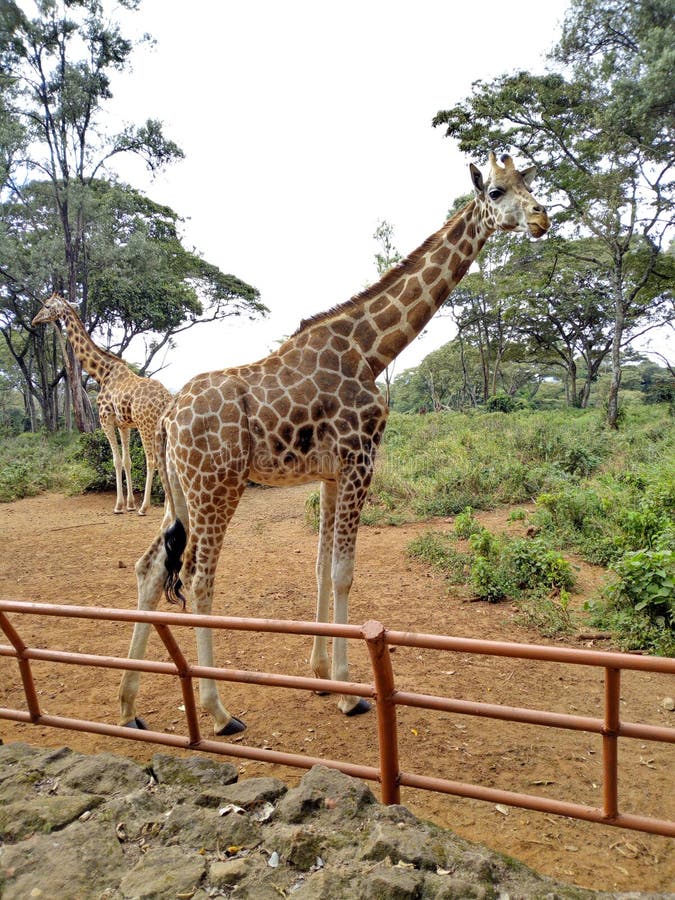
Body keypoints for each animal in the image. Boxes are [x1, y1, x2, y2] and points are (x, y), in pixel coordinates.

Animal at [32, 294, 172, 516]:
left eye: (46, 305)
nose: (34, 321)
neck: (102, 373)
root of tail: (167, 398)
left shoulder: (105, 419)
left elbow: (116, 460)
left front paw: (119, 506)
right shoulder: (124, 425)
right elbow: (127, 461)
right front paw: (129, 504)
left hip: (146, 425)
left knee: (152, 460)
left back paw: (145, 507)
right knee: (165, 461)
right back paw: (167, 507)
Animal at [119, 153, 550, 736]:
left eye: (530, 182)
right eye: (499, 191)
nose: (542, 218)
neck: (371, 350)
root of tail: (167, 417)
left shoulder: (328, 471)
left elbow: (321, 567)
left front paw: (322, 674)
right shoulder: (360, 458)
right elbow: (344, 573)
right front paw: (351, 692)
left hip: (179, 491)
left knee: (150, 568)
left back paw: (129, 706)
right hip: (217, 485)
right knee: (198, 576)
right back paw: (219, 712)